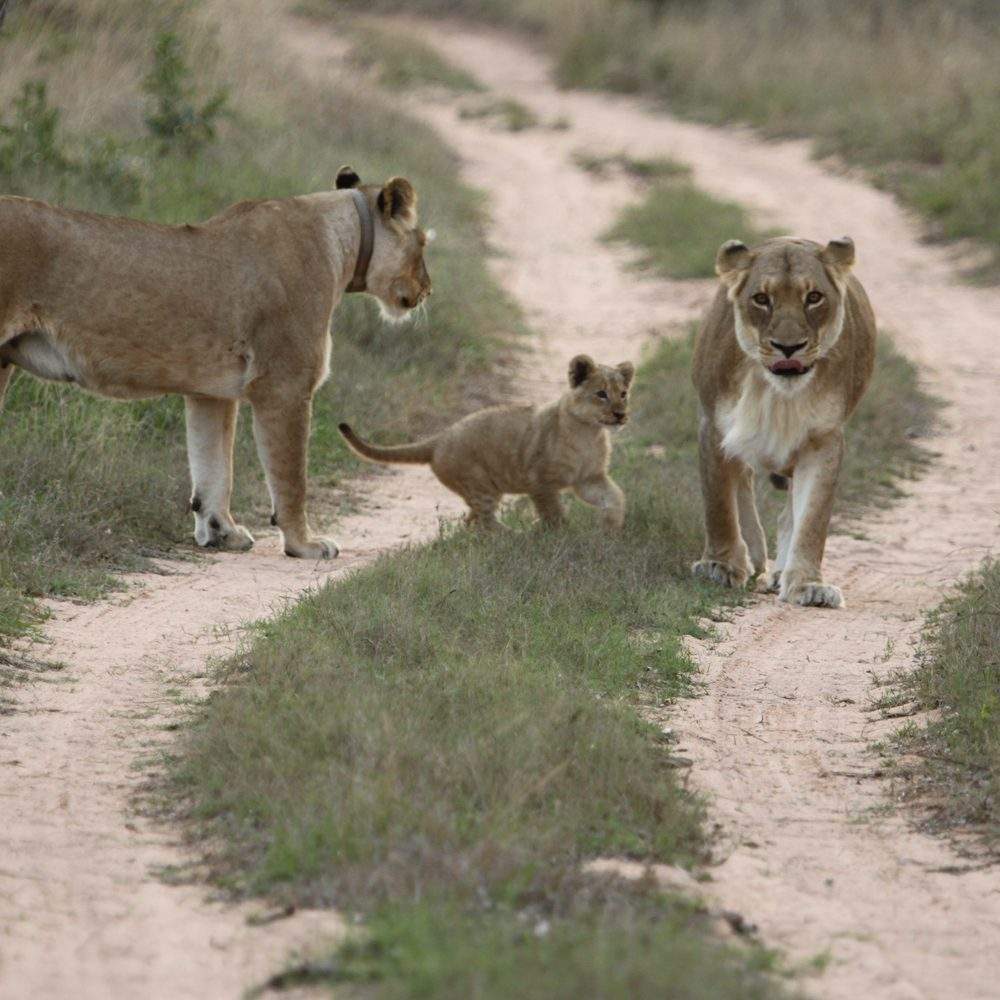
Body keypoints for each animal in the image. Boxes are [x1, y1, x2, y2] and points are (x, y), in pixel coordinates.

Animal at [0, 165, 431, 559]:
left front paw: (222, 531)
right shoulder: (284, 386)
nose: (428, 289)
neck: (341, 241)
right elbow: (291, 476)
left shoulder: (211, 393)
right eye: (424, 244)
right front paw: (305, 544)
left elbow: (214, 466)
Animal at [339, 354, 634, 530]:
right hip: (480, 487)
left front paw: (611, 528)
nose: (620, 414)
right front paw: (562, 536)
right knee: (484, 524)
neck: (589, 432)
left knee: (472, 522)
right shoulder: (540, 481)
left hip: (484, 491)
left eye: (623, 393)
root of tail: (439, 438)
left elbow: (615, 496)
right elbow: (553, 514)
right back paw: (514, 536)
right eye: (601, 394)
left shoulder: (589, 478)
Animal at [691, 236, 876, 608]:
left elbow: (812, 516)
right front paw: (720, 566)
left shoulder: (824, 439)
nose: (788, 347)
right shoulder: (714, 426)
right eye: (761, 299)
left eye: (814, 297)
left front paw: (807, 585)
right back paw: (754, 556)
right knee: (743, 484)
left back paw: (777, 571)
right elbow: (719, 504)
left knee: (787, 508)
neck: (776, 391)